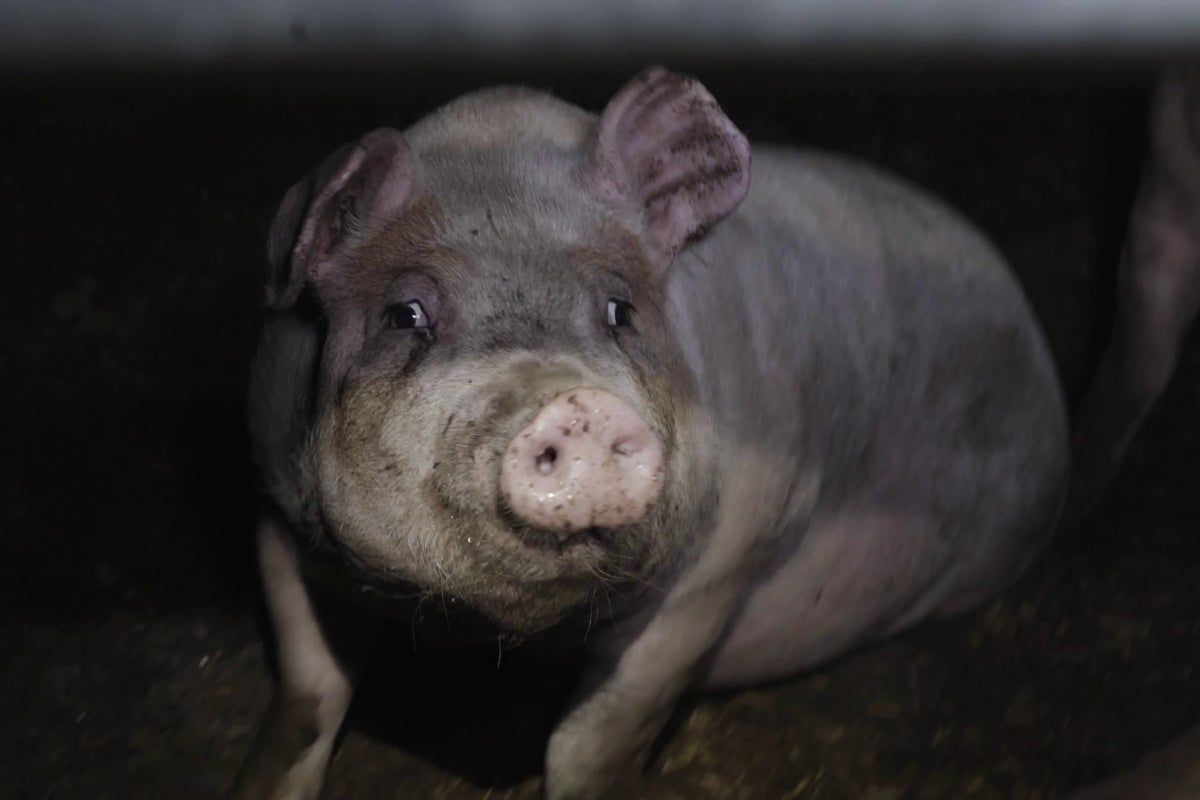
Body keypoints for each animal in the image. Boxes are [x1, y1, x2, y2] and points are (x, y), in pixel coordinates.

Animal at [233, 67, 1069, 800]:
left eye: (620, 311)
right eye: (405, 314)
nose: (576, 404)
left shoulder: (726, 557)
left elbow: (593, 738)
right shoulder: (276, 505)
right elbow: (307, 695)